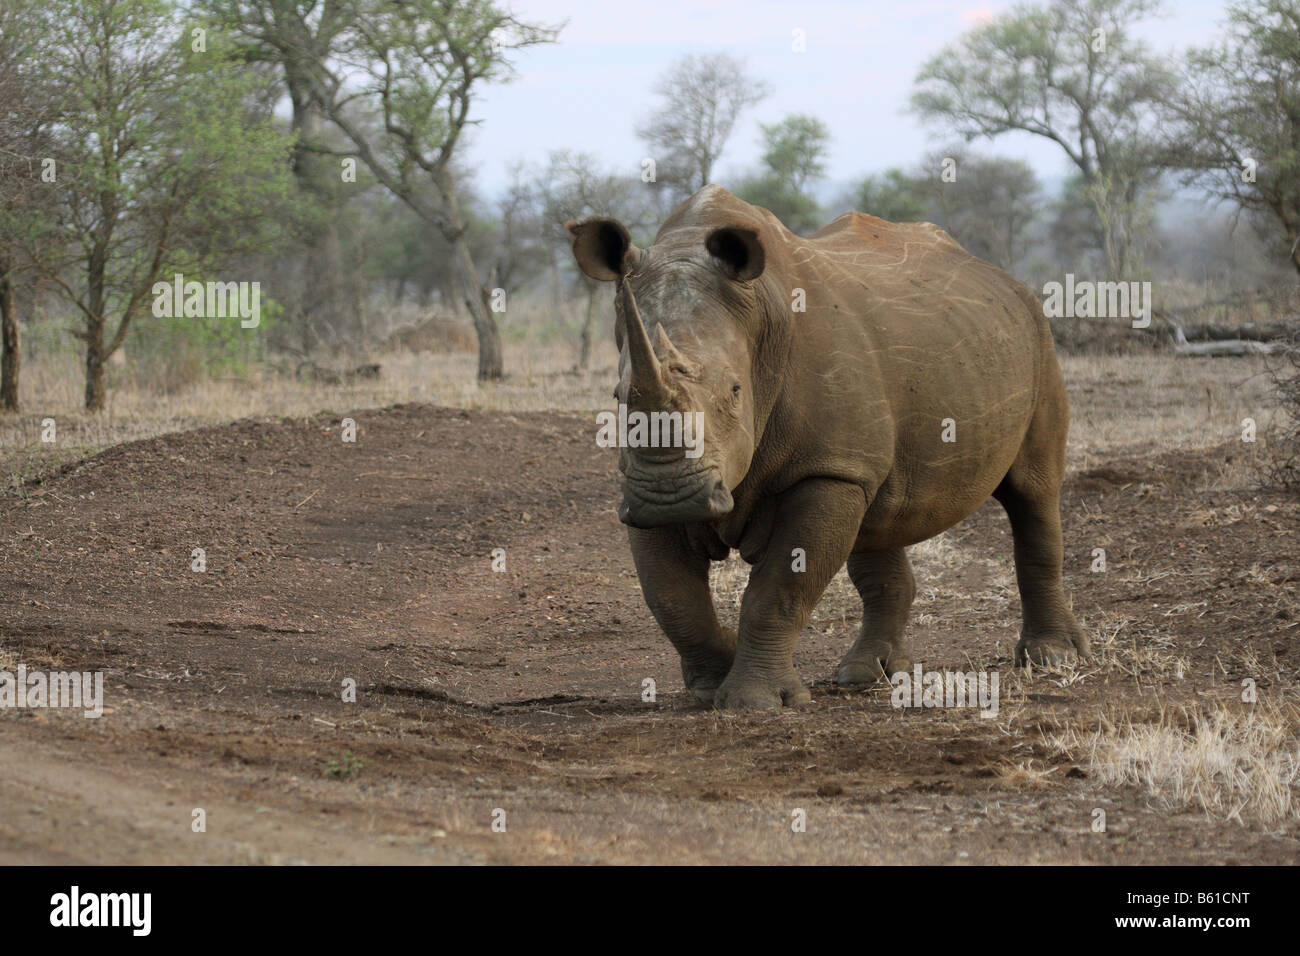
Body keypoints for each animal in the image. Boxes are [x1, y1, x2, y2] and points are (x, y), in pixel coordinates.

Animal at [568, 185, 1088, 710]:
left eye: (735, 392)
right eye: (618, 396)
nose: (672, 496)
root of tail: (1001, 276)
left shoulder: (826, 469)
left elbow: (778, 590)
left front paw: (755, 702)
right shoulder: (640, 492)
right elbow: (672, 597)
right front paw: (710, 687)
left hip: (1037, 337)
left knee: (1033, 491)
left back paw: (1053, 658)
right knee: (880, 517)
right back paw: (868, 675)